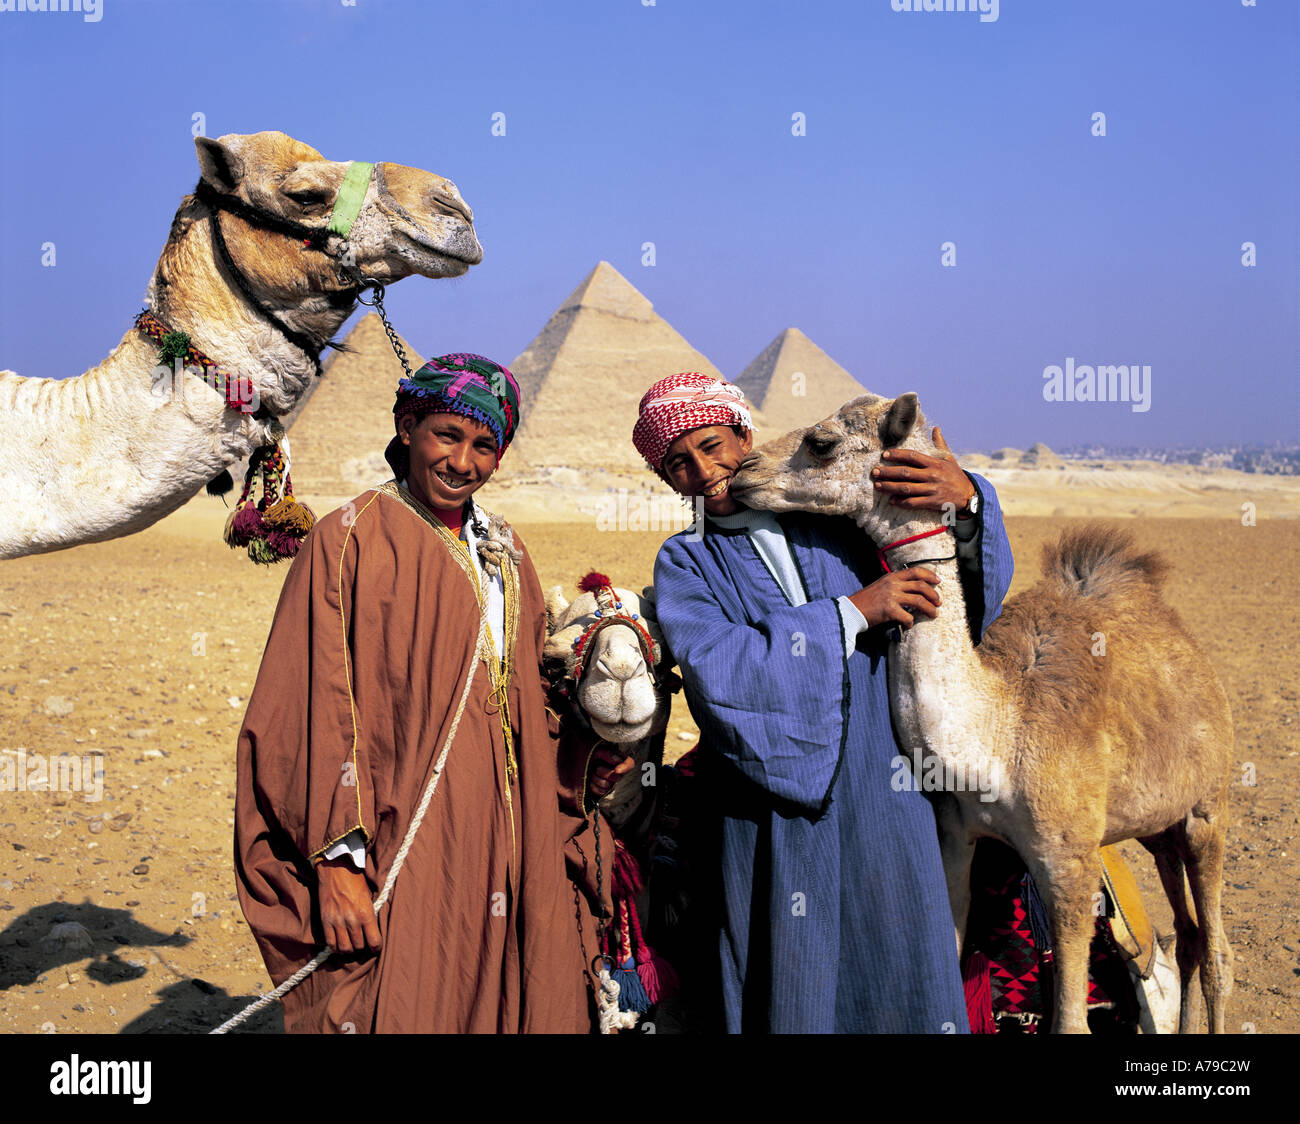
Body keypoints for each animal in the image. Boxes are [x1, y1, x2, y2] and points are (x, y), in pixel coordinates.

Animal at [730, 392, 1234, 1034]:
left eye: (821, 443)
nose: (743, 471)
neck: (999, 736)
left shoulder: (1070, 861)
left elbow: (1070, 1018)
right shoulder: (956, 834)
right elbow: (949, 953)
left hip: (1206, 810)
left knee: (1217, 951)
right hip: (1157, 825)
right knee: (1189, 937)